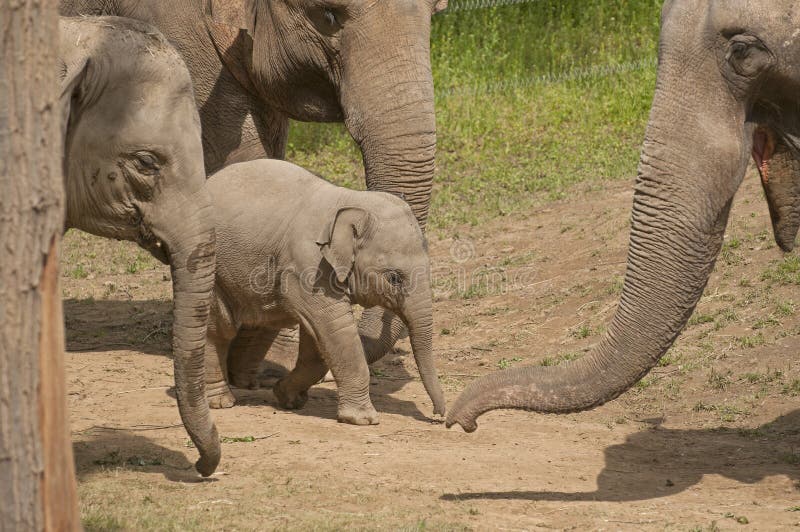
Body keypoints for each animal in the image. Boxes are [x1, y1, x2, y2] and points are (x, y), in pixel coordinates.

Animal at [203, 159, 446, 425]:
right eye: (394, 278)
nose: (439, 416)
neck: (351, 201)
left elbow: (318, 340)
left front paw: (288, 398)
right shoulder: (307, 267)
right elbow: (336, 329)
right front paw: (363, 419)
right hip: (210, 269)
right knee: (219, 329)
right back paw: (220, 402)